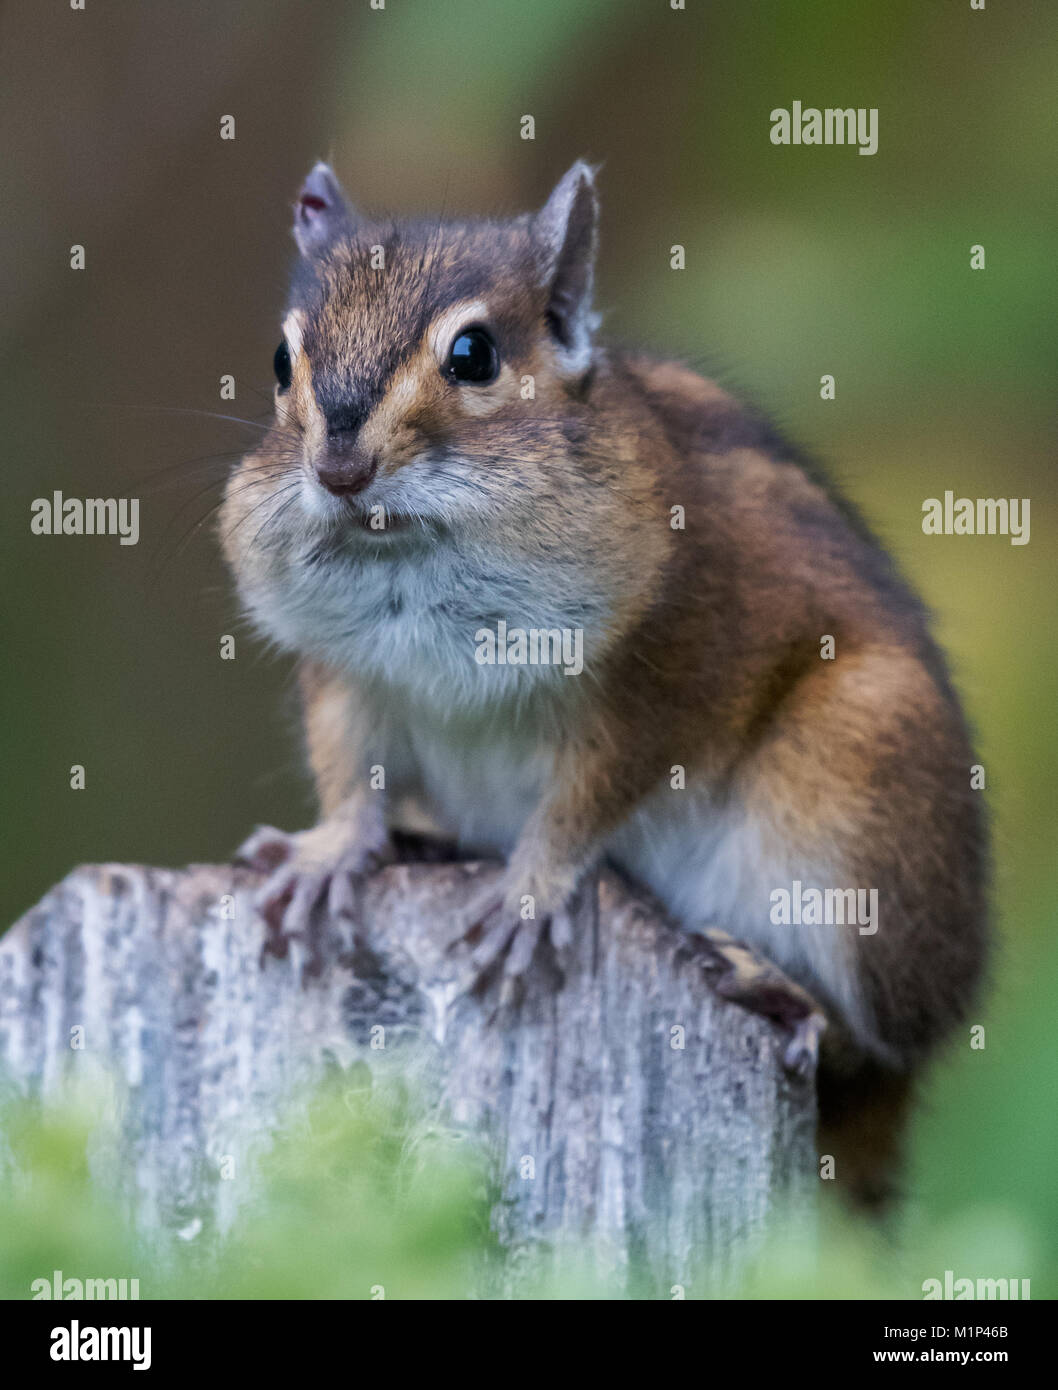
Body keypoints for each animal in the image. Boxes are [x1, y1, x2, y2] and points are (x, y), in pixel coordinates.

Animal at [221, 160, 989, 1211]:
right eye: (278, 360)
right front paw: (326, 856)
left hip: (855, 799)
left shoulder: (658, 681)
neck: (411, 559)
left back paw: (784, 992)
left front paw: (529, 891)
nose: (338, 467)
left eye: (473, 355)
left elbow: (594, 793)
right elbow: (349, 769)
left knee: (871, 1049)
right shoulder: (350, 678)